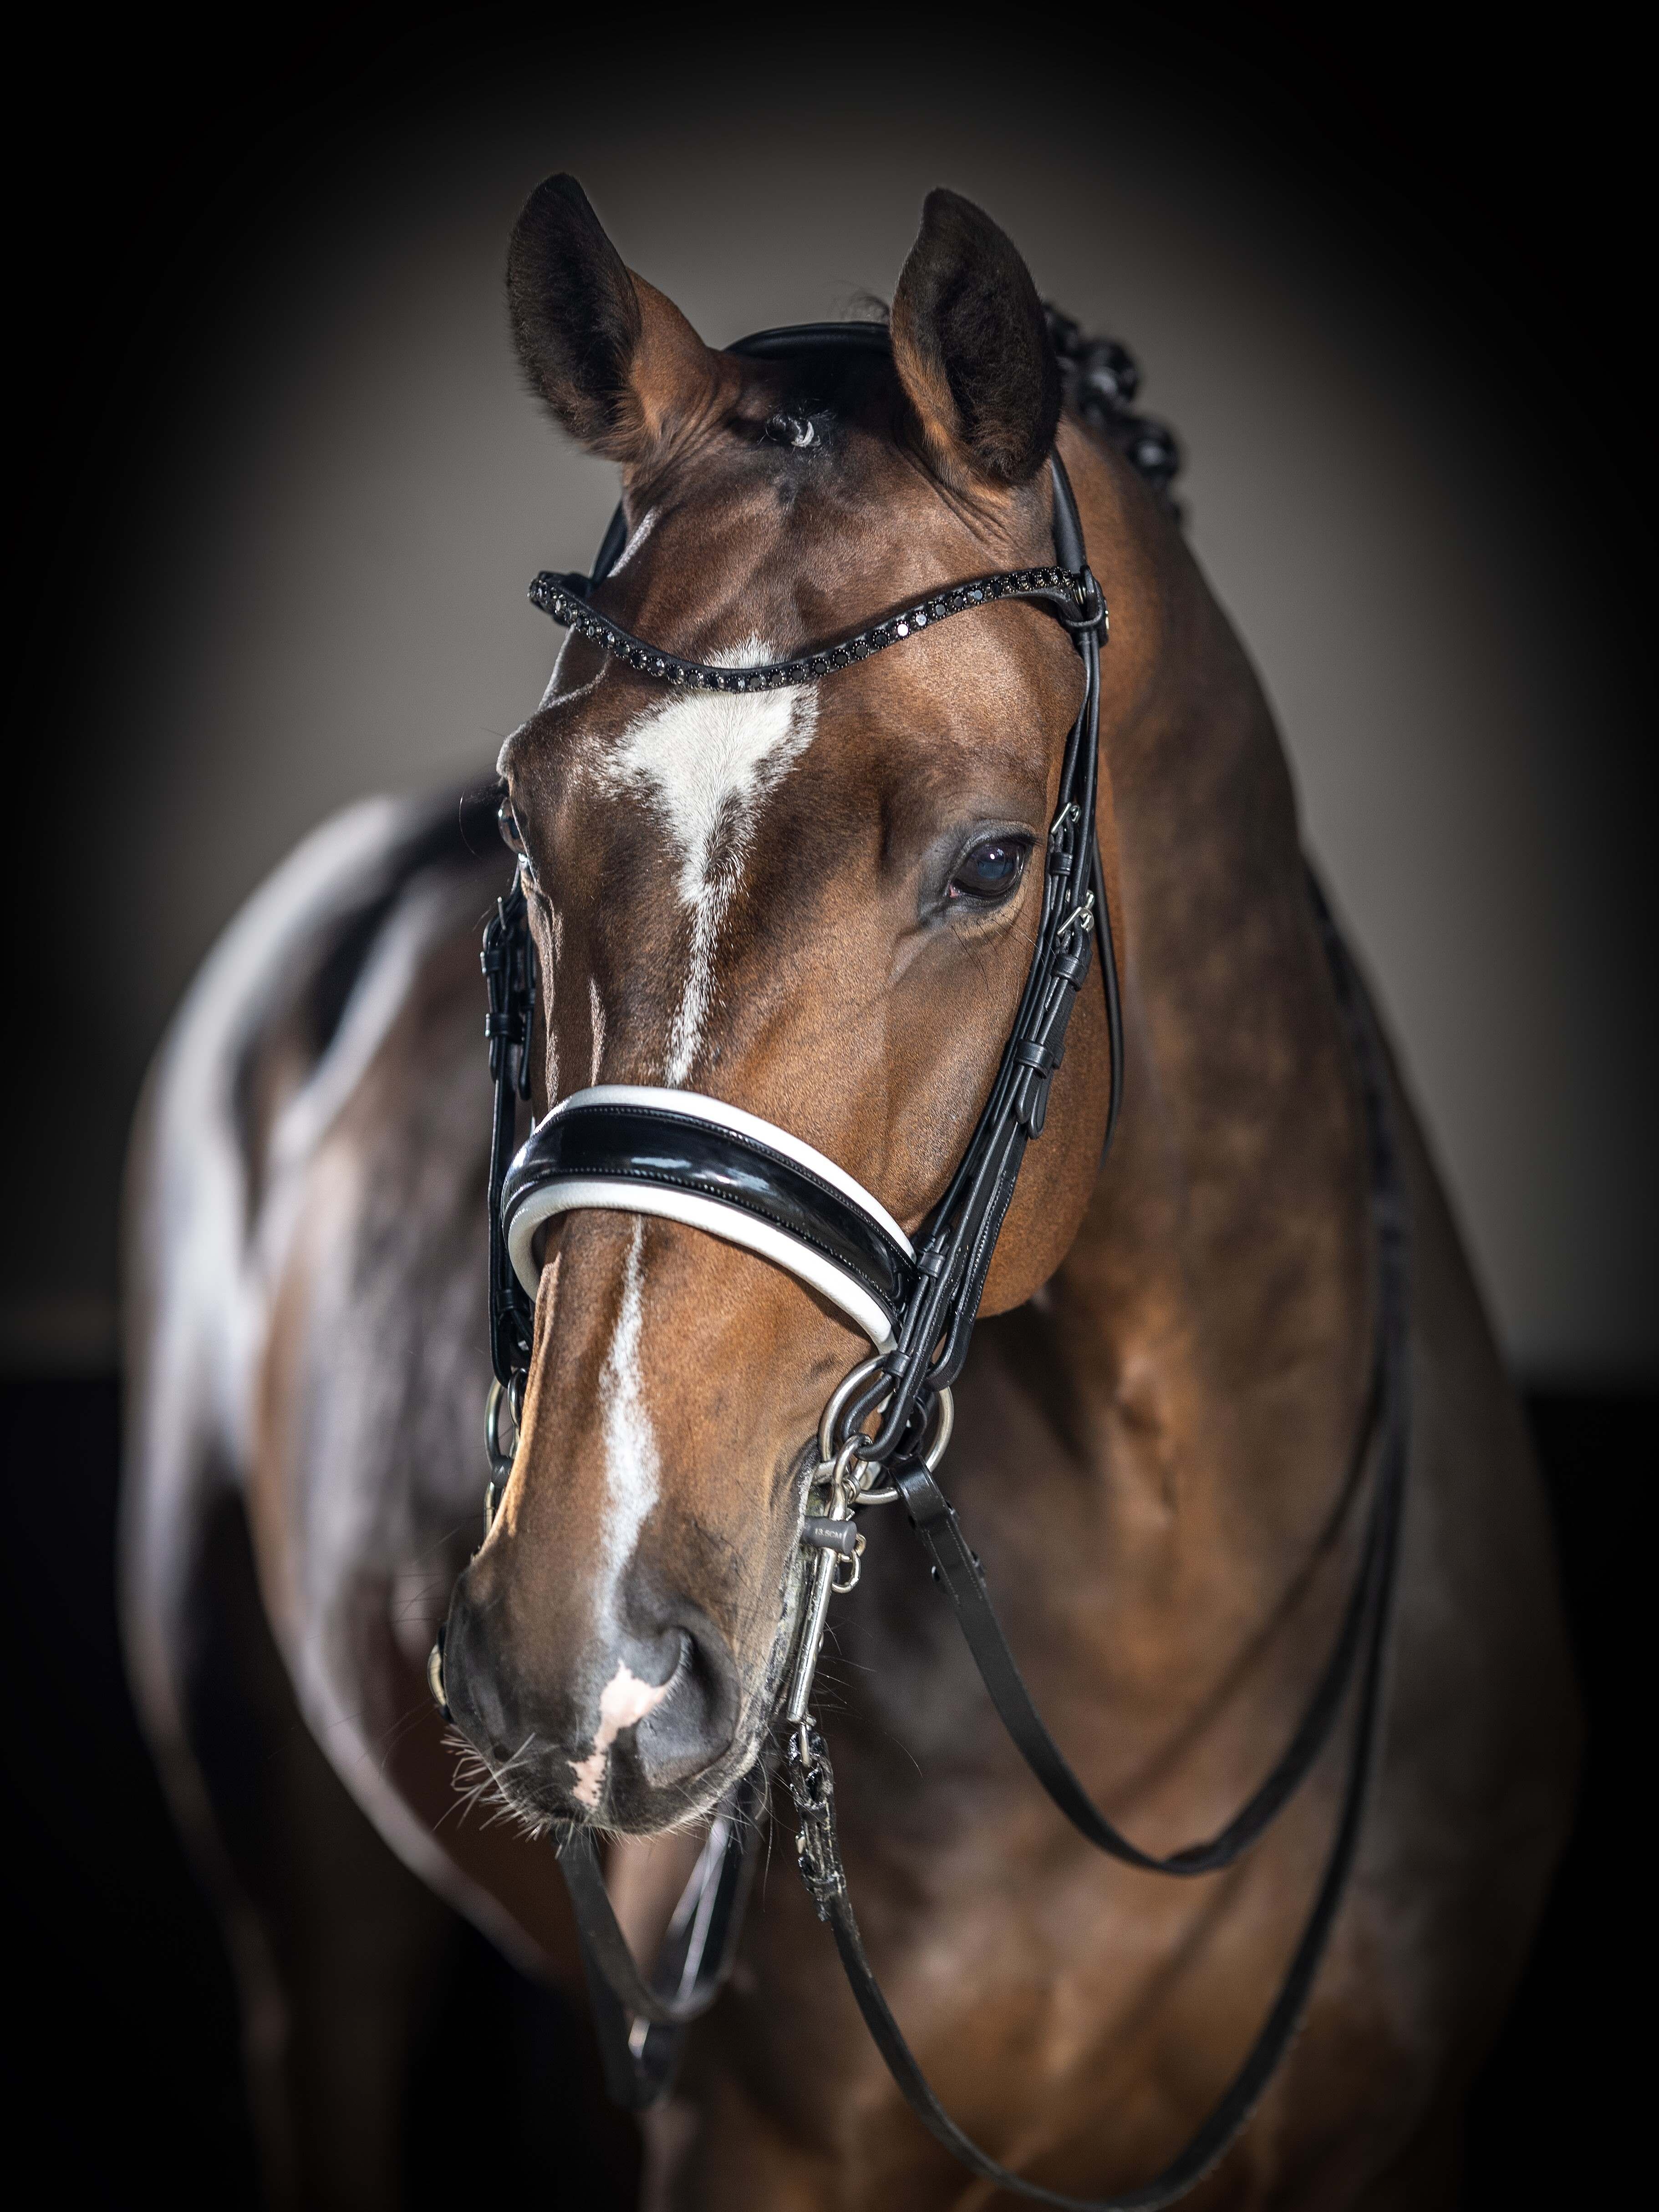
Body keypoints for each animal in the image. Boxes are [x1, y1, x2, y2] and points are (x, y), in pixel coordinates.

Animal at [122, 176, 1580, 2208]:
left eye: (988, 861)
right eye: (525, 825)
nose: (581, 1655)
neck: (1179, 1588)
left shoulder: (1399, 2135)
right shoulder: (756, 2148)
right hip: (301, 1900)